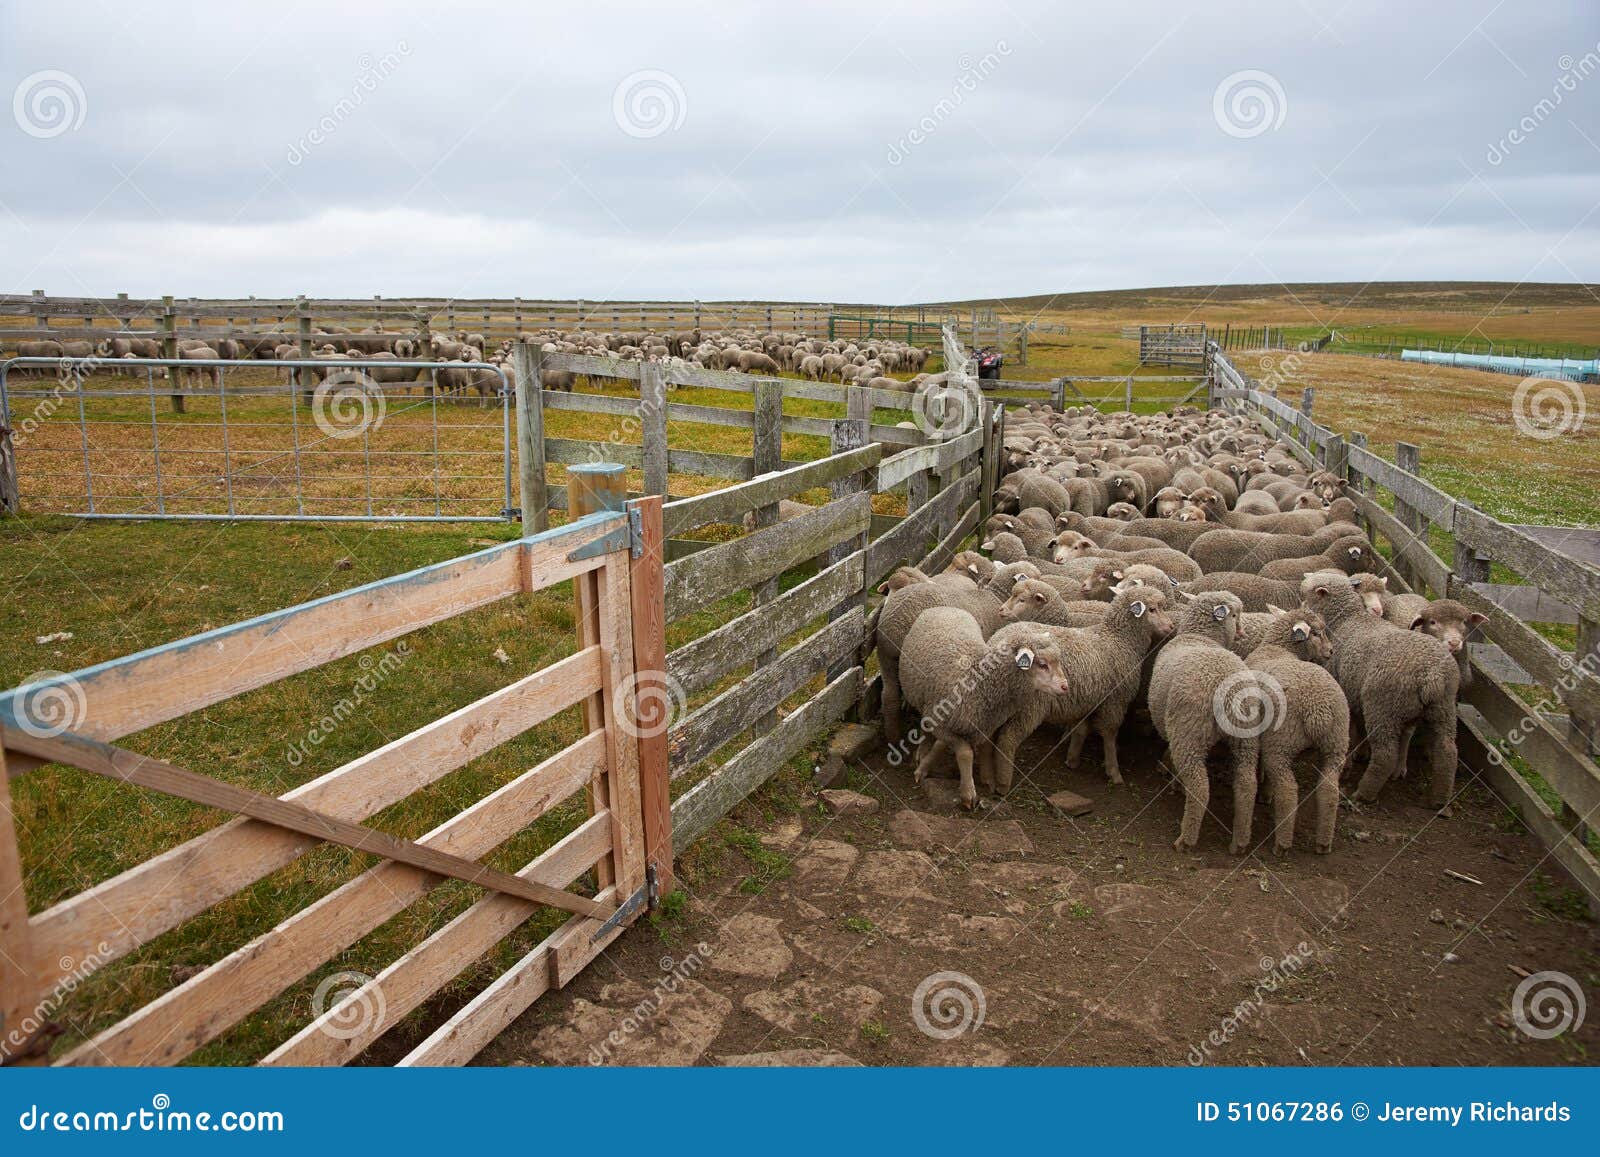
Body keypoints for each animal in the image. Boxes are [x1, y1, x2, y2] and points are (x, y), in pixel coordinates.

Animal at [898, 608, 1072, 809]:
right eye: (1042, 664)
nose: (1065, 687)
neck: (979, 683)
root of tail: (946, 608)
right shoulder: (941, 721)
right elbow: (965, 753)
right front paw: (968, 794)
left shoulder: (980, 724)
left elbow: (962, 747)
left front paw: (987, 780)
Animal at [989, 585, 1176, 791]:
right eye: (1152, 609)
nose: (1171, 627)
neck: (1120, 640)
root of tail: (997, 641)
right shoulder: (1114, 701)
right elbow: (1110, 734)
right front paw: (1114, 771)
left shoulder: (1084, 698)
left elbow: (1081, 730)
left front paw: (1072, 759)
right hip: (1032, 706)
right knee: (1007, 739)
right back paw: (1003, 783)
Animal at [1146, 590, 1259, 852]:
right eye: (1236, 615)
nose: (1242, 632)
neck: (1199, 637)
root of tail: (1226, 690)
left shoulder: (1174, 728)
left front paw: (1173, 779)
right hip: (1246, 738)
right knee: (1247, 784)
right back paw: (1240, 841)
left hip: (1189, 731)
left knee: (1199, 786)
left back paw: (1186, 839)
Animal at [1245, 609, 1349, 853]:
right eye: (1317, 633)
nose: (1331, 651)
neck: (1278, 648)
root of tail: (1318, 709)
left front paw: (1265, 794)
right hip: (1336, 743)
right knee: (1329, 789)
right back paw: (1323, 843)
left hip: (1282, 742)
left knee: (1288, 789)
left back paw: (1282, 844)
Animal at [1298, 571, 1460, 811]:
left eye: (1306, 593)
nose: (1299, 608)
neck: (1347, 620)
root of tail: (1431, 674)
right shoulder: (1355, 690)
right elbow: (1359, 726)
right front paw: (1360, 752)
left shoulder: (1346, 688)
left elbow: (1353, 727)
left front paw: (1350, 761)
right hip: (1444, 708)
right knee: (1447, 750)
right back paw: (1439, 799)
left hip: (1383, 707)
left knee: (1385, 755)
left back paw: (1364, 793)